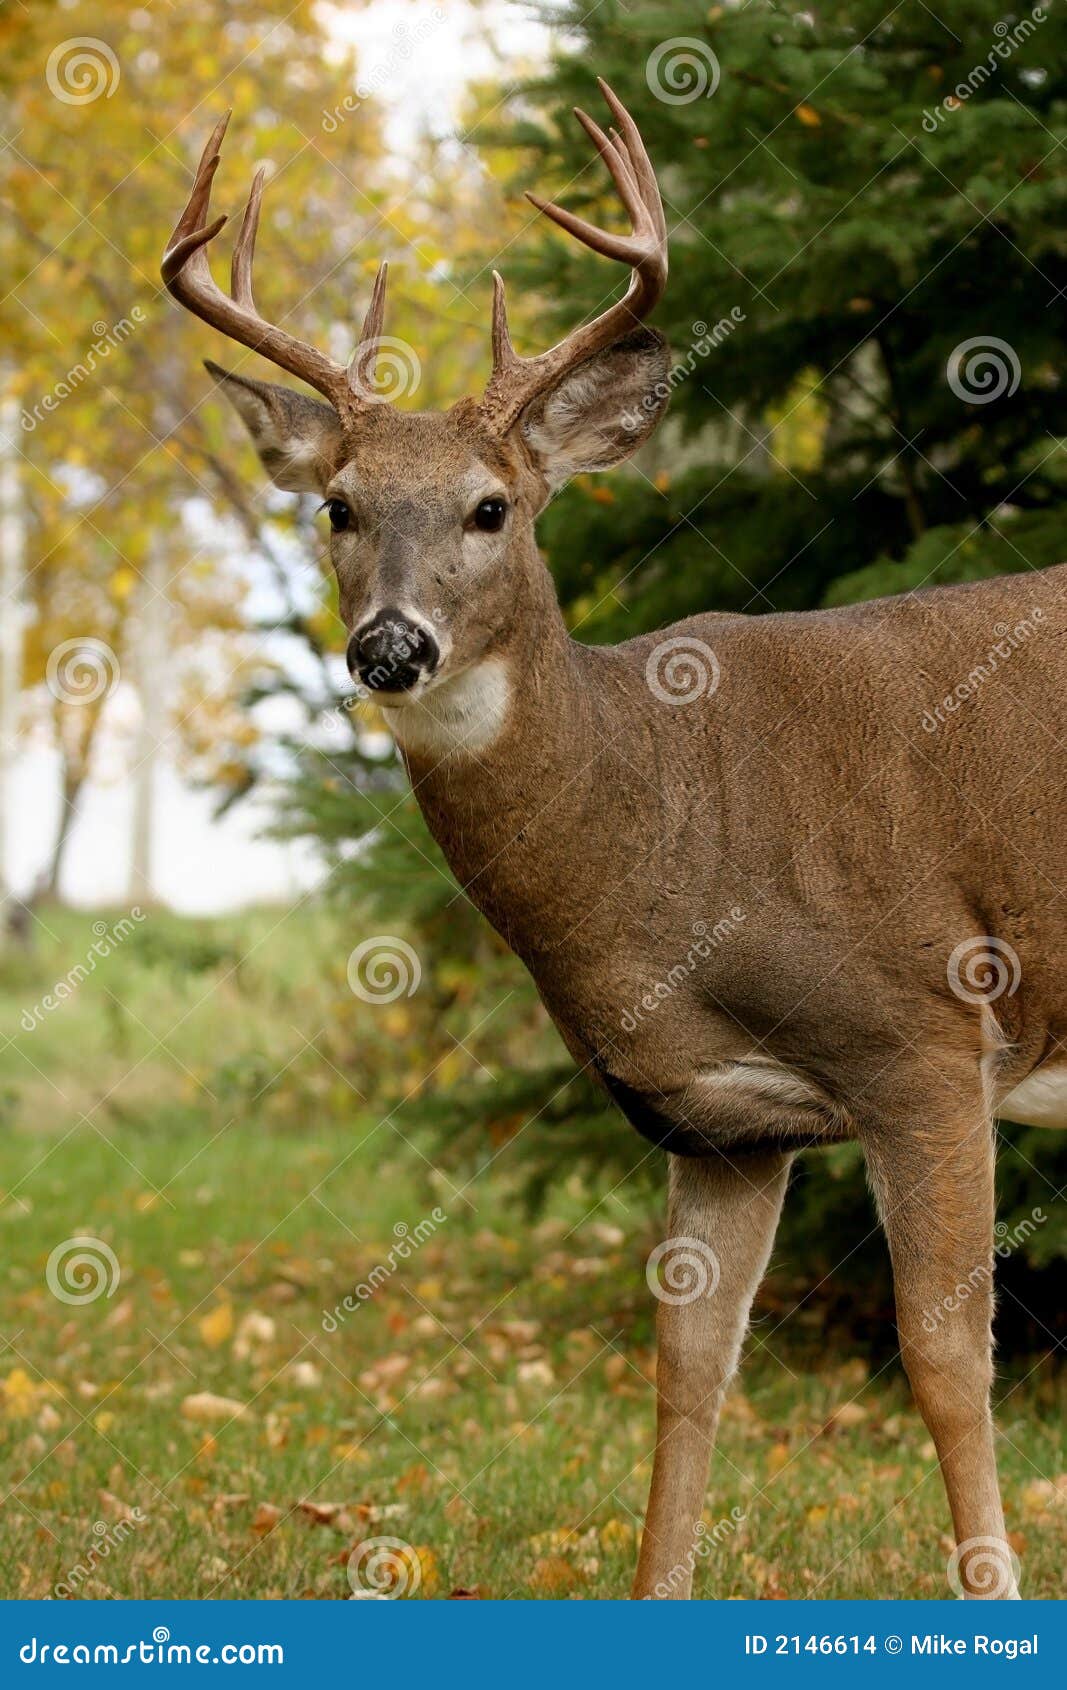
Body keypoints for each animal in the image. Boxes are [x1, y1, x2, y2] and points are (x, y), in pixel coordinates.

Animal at [162, 84, 1063, 1601]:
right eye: (337, 504)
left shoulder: (927, 1034)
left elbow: (945, 1362)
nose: (388, 645)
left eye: (492, 506)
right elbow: (687, 1372)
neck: (669, 830)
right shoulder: (720, 1120)